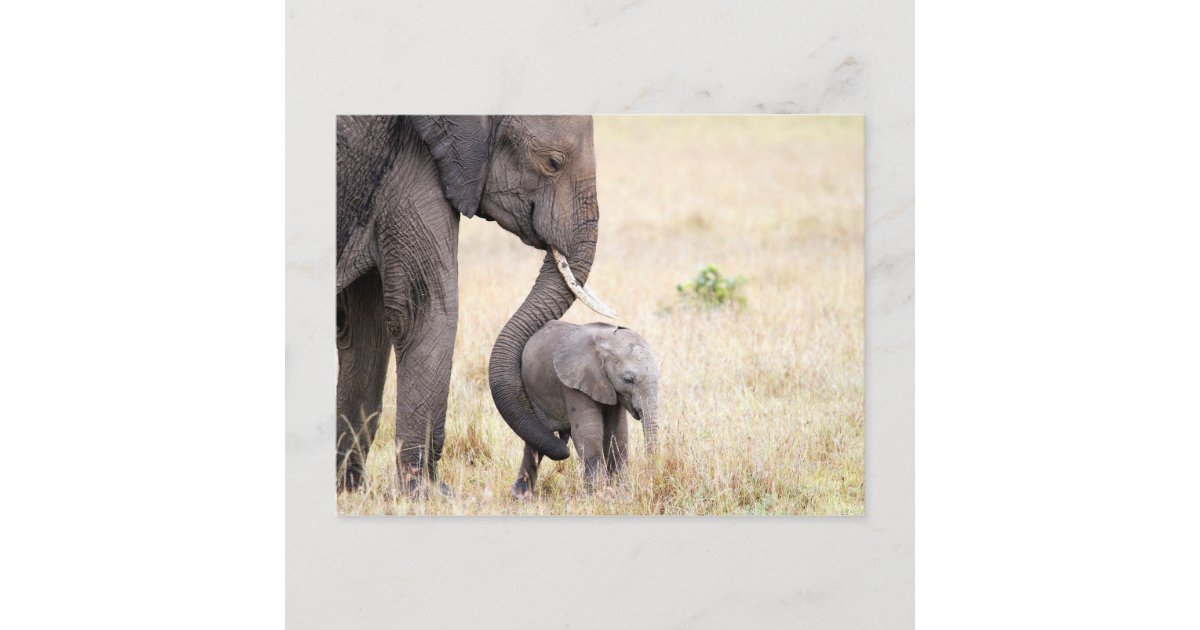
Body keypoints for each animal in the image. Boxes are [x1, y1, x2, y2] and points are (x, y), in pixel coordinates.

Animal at [336, 116, 617, 494]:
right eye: (553, 163)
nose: (562, 444)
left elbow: (366, 327)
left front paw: (350, 491)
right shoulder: (414, 162)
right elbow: (426, 310)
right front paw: (430, 494)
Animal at [510, 321, 661, 499]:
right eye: (628, 379)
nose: (652, 478)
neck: (605, 341)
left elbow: (617, 433)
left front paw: (621, 492)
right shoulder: (574, 381)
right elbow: (589, 432)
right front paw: (599, 495)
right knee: (536, 436)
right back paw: (521, 496)